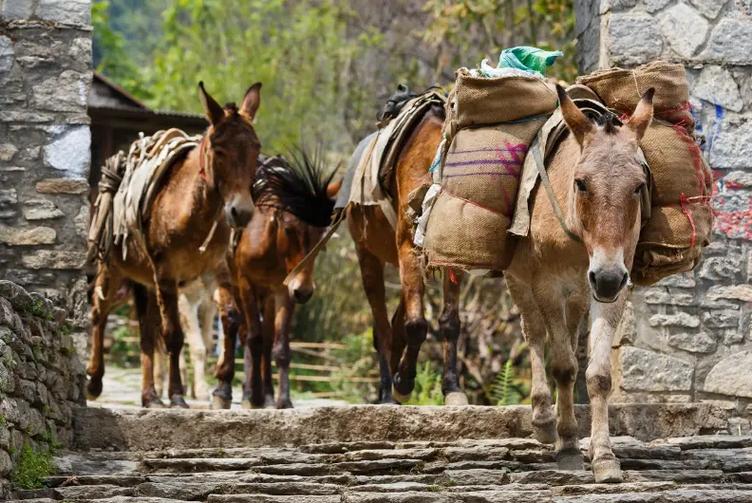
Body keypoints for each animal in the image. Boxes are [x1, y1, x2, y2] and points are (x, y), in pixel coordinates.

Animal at [86, 81, 262, 408]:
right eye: (218, 149)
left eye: (256, 148)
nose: (241, 212)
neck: (192, 212)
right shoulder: (167, 276)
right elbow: (173, 336)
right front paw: (179, 395)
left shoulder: (216, 271)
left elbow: (230, 320)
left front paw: (222, 390)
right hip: (115, 271)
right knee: (98, 313)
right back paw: (94, 382)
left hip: (145, 283)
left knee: (145, 333)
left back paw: (150, 397)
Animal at [213, 152, 340, 409]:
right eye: (289, 229)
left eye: (321, 237)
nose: (305, 291)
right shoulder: (246, 283)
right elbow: (254, 337)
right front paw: (252, 397)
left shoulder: (283, 290)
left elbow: (279, 346)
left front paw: (283, 399)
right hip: (235, 286)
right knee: (237, 327)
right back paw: (232, 391)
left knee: (265, 336)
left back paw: (263, 394)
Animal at [347, 102, 468, 405]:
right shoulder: (408, 248)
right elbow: (415, 325)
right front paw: (403, 382)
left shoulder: (451, 258)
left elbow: (450, 322)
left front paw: (452, 387)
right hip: (367, 254)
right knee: (382, 327)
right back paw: (387, 390)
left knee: (395, 322)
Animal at [505, 85, 655, 483]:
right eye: (581, 183)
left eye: (639, 186)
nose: (605, 277)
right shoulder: (547, 286)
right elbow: (563, 367)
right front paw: (569, 446)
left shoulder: (615, 285)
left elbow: (598, 375)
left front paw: (603, 456)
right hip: (519, 282)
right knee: (534, 334)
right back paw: (544, 418)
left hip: (577, 297)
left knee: (569, 340)